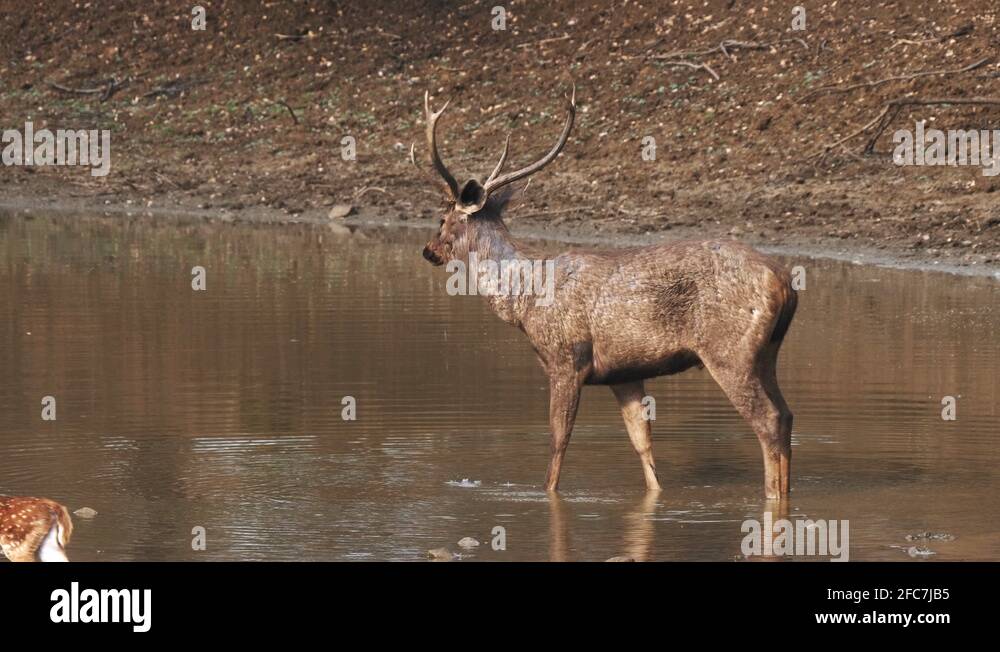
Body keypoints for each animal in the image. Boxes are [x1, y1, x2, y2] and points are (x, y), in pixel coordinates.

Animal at [413, 86, 798, 500]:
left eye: (441, 218)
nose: (428, 251)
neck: (523, 300)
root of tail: (783, 282)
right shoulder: (623, 372)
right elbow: (643, 445)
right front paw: (654, 495)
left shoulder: (567, 357)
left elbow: (558, 442)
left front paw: (548, 494)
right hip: (766, 352)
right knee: (787, 415)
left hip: (729, 350)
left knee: (769, 420)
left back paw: (773, 497)